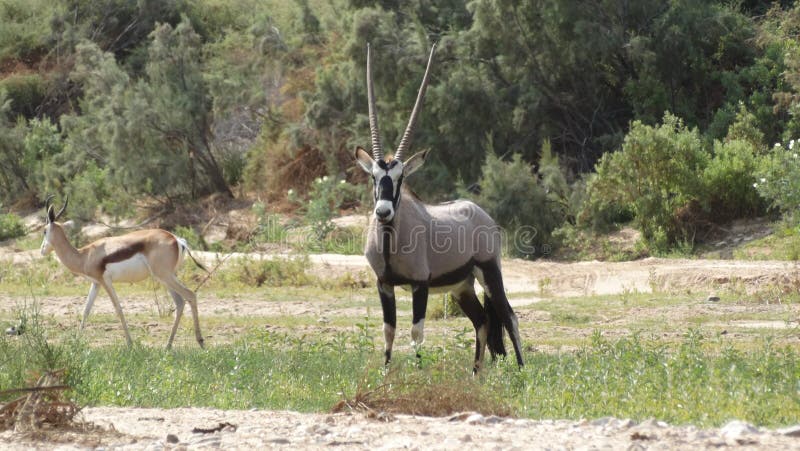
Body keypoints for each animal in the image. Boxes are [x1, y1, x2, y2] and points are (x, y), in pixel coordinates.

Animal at [40, 196, 205, 349]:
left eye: (44, 231)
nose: (42, 250)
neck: (85, 255)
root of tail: (177, 240)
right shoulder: (96, 283)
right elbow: (86, 309)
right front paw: (76, 342)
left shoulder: (105, 282)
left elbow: (118, 308)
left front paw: (130, 344)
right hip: (167, 277)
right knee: (180, 302)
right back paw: (168, 346)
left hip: (164, 276)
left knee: (190, 295)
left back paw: (200, 342)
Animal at [354, 43, 524, 373]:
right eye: (374, 177)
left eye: (401, 177)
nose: (383, 212)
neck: (391, 239)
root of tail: (481, 214)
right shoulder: (384, 284)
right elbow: (389, 330)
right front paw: (385, 373)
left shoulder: (420, 285)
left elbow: (416, 332)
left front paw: (418, 372)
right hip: (462, 287)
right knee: (482, 321)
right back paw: (476, 373)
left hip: (489, 272)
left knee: (508, 316)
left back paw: (522, 371)